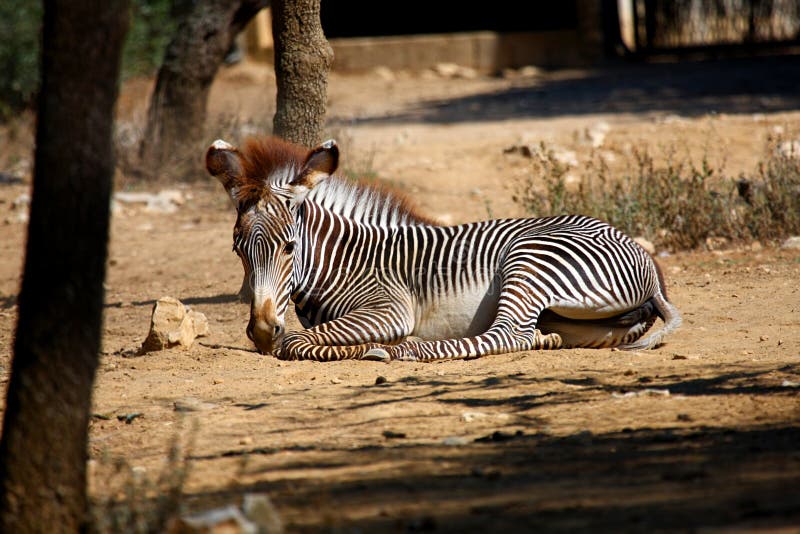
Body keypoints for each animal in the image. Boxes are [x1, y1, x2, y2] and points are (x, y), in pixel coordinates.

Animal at [206, 136, 681, 362]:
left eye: (289, 247)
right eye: (237, 251)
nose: (261, 331)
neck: (346, 261)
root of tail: (647, 262)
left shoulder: (389, 307)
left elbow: (298, 343)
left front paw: (369, 346)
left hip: (528, 260)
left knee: (506, 334)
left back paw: (405, 350)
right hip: (585, 322)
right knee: (531, 336)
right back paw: (548, 339)